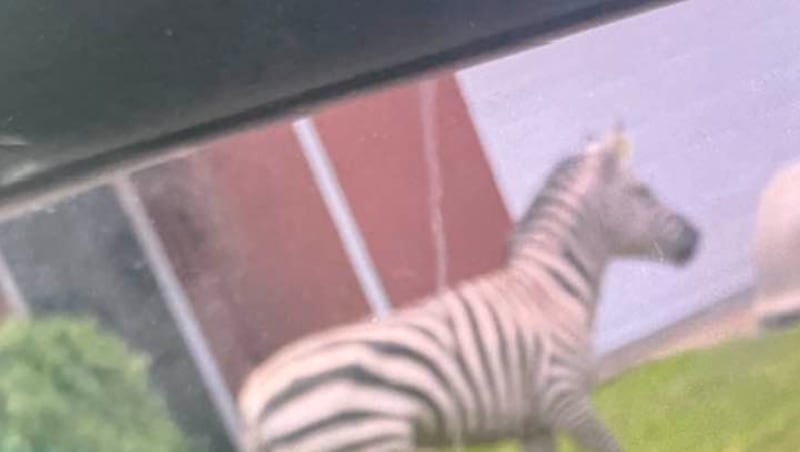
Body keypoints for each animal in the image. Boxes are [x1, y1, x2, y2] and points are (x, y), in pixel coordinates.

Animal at [237, 128, 700, 452]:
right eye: (643, 191)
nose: (696, 239)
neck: (549, 289)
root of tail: (254, 403)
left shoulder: (534, 420)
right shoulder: (566, 400)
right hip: (361, 439)